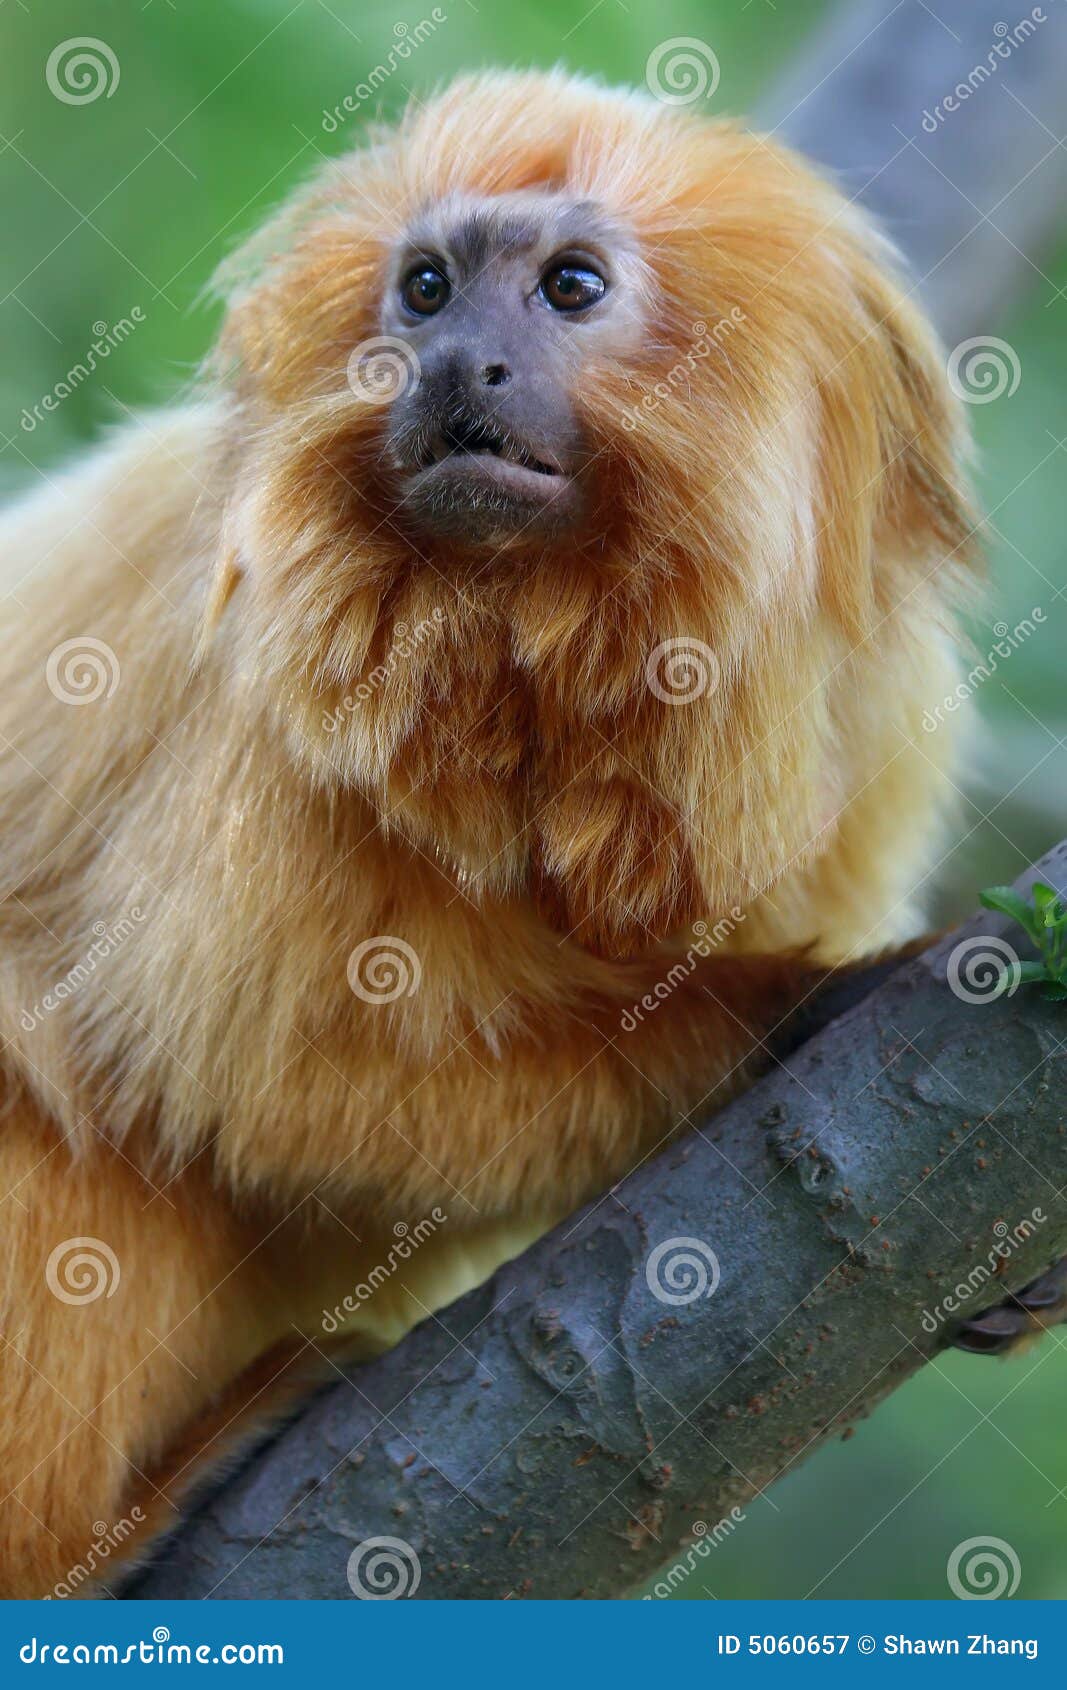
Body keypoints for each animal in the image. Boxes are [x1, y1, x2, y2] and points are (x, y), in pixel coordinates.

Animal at [0, 66, 1015, 1596]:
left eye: (568, 286)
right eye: (424, 289)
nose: (453, 365)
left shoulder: (865, 722)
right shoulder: (265, 711)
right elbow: (242, 1064)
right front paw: (790, 1010)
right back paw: (97, 1532)